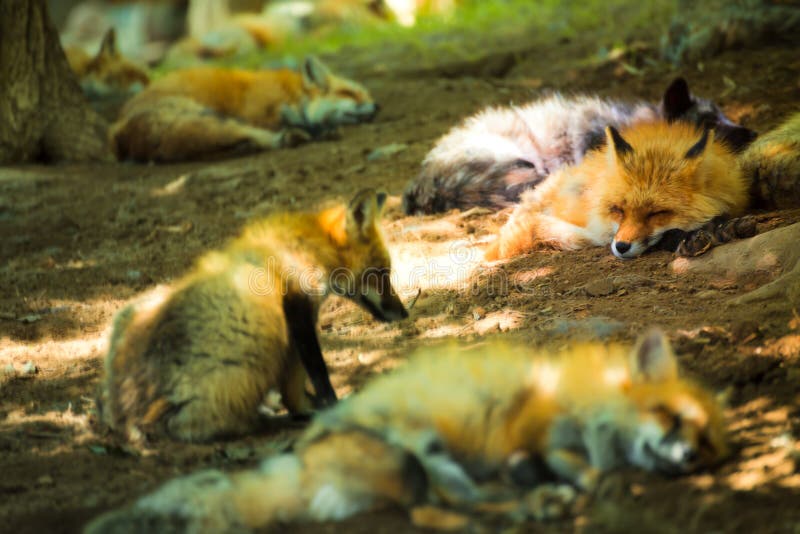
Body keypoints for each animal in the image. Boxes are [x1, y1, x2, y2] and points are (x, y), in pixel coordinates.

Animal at [85, 329, 728, 533]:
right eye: (672, 419)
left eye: (706, 444)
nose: (690, 461)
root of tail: (301, 463)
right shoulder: (534, 428)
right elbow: (568, 461)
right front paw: (600, 482)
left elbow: (551, 468)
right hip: (412, 463)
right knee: (429, 513)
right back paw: (516, 516)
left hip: (441, 465)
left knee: (461, 503)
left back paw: (531, 507)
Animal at [98, 189, 408, 443]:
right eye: (380, 272)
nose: (404, 313)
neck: (304, 248)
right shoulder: (297, 313)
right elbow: (313, 375)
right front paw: (329, 407)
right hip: (262, 334)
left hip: (131, 313)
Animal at [109, 55, 378, 162]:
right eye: (351, 93)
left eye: (367, 93)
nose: (378, 106)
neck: (290, 94)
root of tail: (116, 130)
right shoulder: (257, 113)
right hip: (210, 118)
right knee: (267, 137)